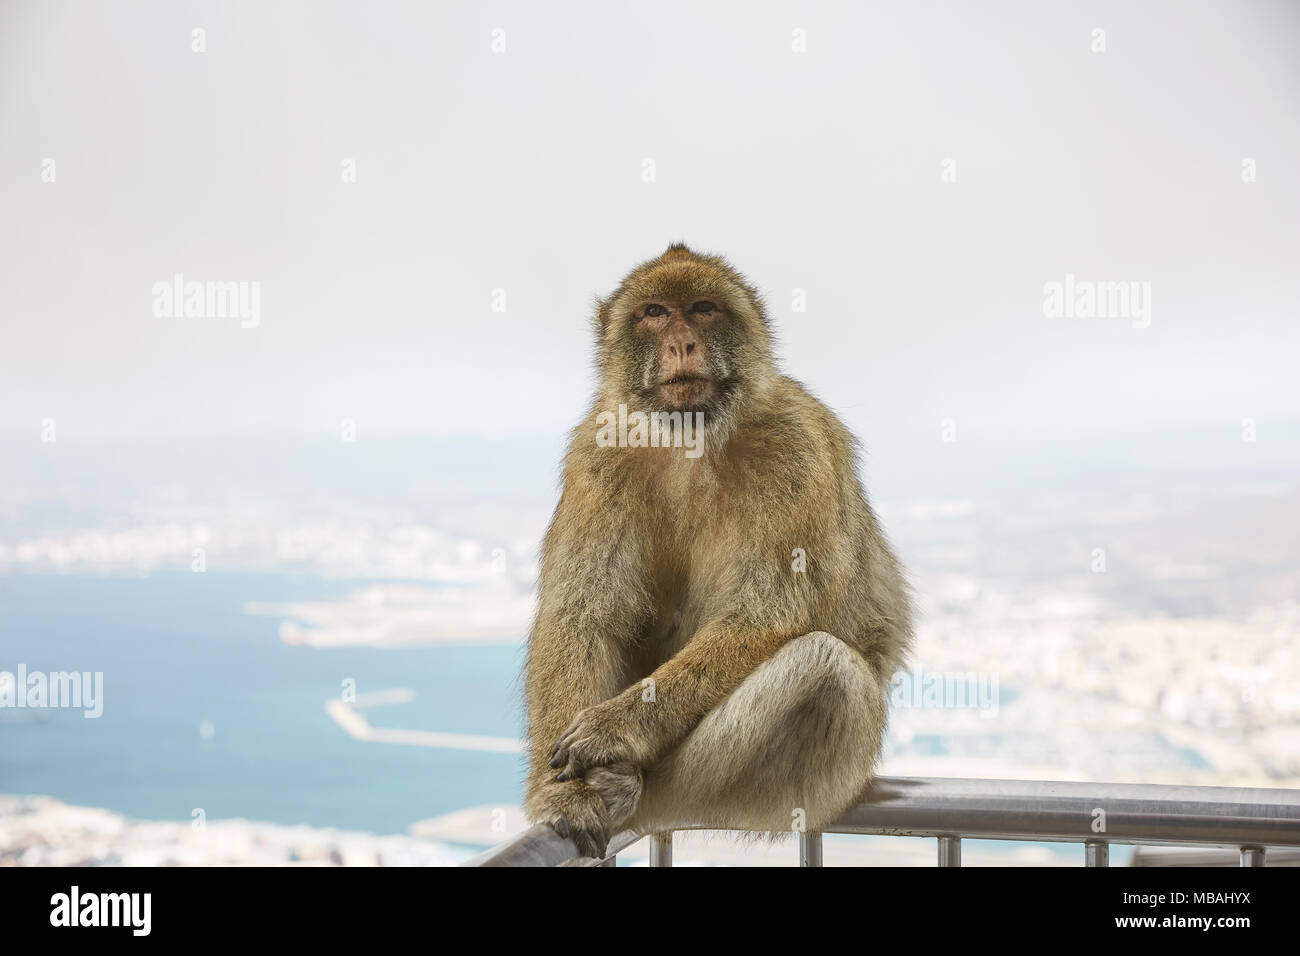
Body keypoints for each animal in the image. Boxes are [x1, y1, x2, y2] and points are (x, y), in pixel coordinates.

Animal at [523, 243, 913, 858]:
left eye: (704, 309)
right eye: (655, 313)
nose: (683, 343)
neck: (691, 437)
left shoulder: (796, 447)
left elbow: (764, 615)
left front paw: (614, 729)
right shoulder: (597, 454)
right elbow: (582, 615)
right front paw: (564, 794)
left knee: (829, 673)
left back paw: (633, 785)